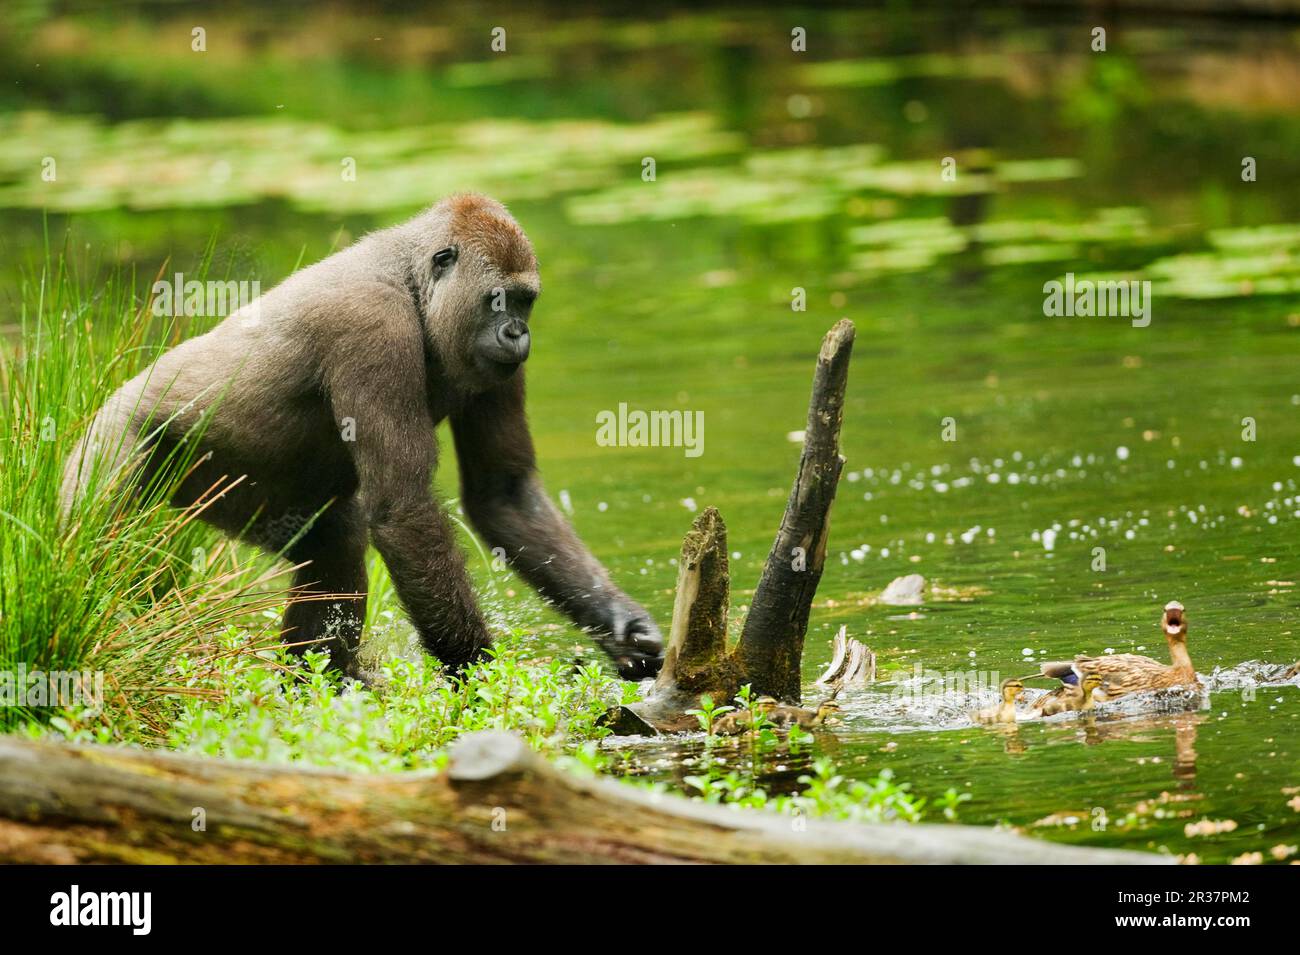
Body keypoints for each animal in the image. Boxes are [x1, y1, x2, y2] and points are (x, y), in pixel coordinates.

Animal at [63, 194, 665, 681]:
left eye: (524, 302)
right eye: (498, 300)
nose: (518, 333)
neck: (414, 285)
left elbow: (504, 492)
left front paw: (622, 627)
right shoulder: (371, 326)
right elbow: (404, 509)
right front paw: (479, 675)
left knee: (333, 547)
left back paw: (322, 682)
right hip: (116, 441)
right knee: (95, 544)